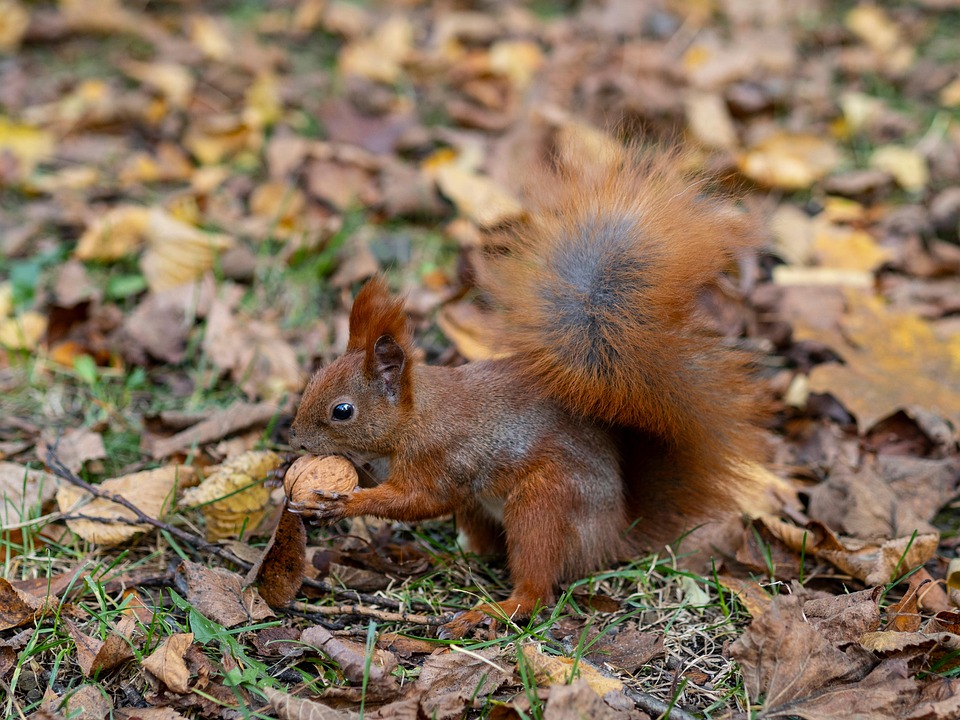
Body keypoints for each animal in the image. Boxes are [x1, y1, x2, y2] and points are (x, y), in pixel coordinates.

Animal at [288, 147, 764, 639]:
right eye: (314, 378)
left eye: (342, 410)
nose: (296, 439)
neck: (413, 420)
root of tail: (612, 535)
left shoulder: (443, 459)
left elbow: (419, 500)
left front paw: (345, 503)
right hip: (482, 509)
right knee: (481, 552)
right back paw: (418, 556)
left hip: (543, 505)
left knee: (536, 589)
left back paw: (490, 611)